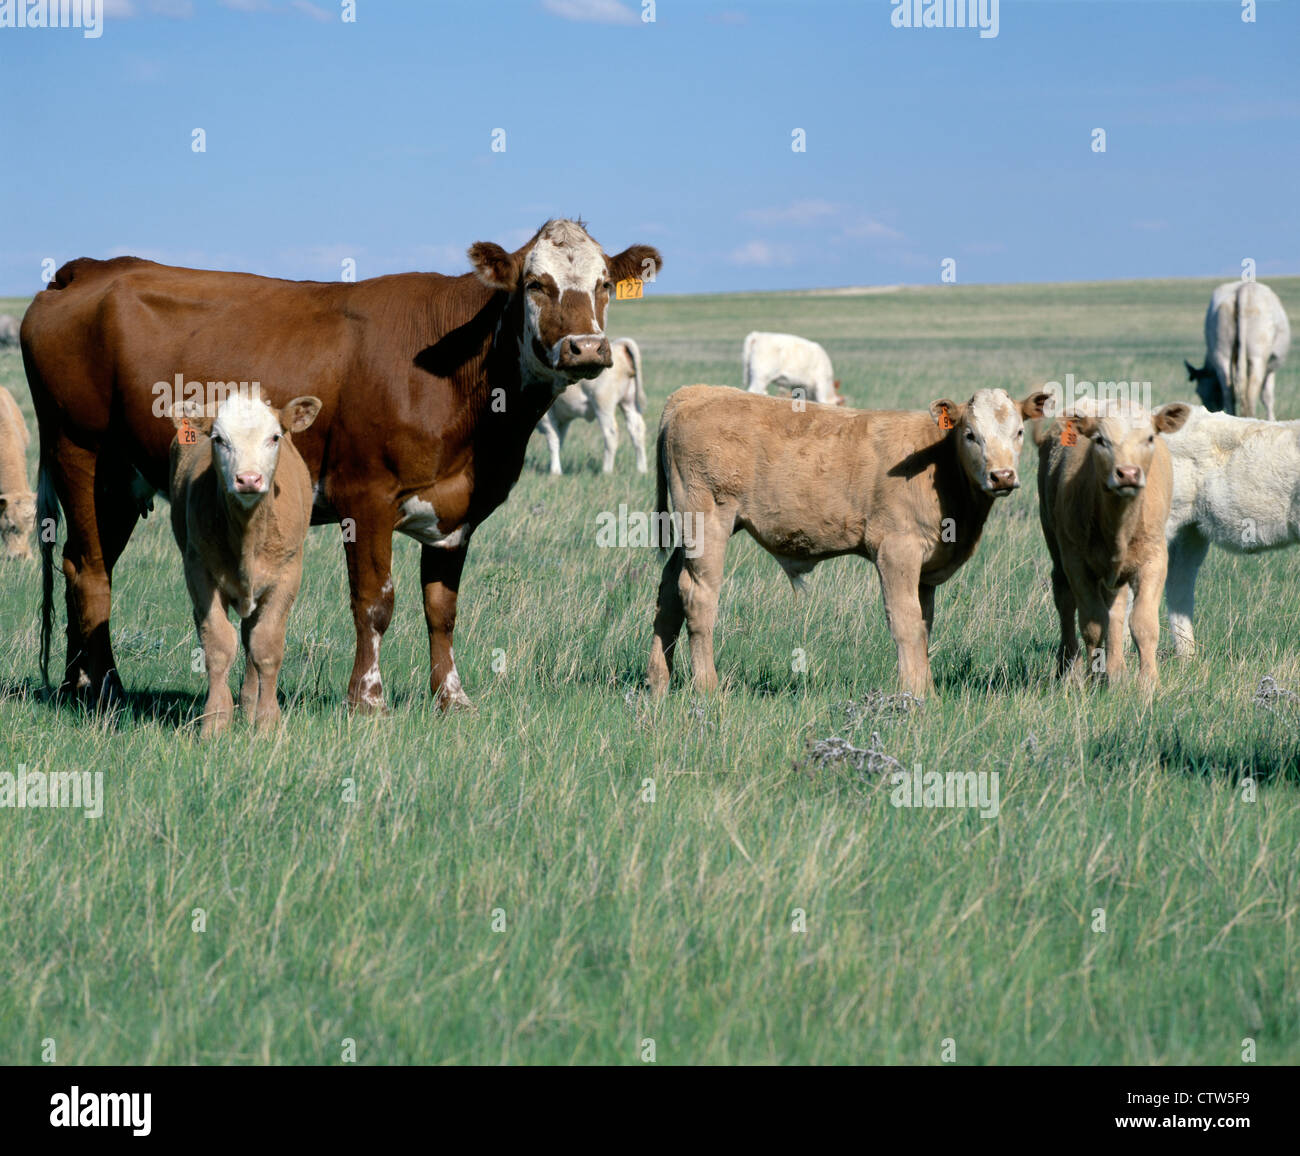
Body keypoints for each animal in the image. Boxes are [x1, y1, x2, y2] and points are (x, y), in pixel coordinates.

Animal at [169, 392, 321, 736]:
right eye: (219, 439)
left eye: (274, 437)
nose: (249, 479)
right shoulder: (199, 572)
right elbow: (218, 644)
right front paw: (215, 721)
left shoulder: (287, 576)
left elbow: (265, 646)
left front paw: (267, 722)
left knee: (253, 636)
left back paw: (250, 705)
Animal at [536, 336, 647, 474]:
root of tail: (620, 346)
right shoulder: (563, 418)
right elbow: (559, 439)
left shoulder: (547, 417)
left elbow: (553, 440)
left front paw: (555, 471)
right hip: (629, 402)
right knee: (637, 431)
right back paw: (642, 469)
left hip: (603, 405)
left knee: (611, 433)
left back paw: (606, 471)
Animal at [647, 385, 1049, 699]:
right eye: (970, 434)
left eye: (1018, 432)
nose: (1002, 476)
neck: (940, 464)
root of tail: (693, 394)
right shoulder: (896, 551)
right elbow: (905, 622)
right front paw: (915, 693)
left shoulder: (926, 569)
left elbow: (923, 625)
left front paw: (927, 688)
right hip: (706, 522)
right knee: (697, 595)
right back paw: (707, 686)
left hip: (689, 532)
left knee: (669, 591)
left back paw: (659, 681)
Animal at [1035, 398, 1191, 689]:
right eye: (1100, 440)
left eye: (1149, 437)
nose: (1128, 473)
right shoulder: (1076, 563)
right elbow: (1092, 623)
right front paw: (1092, 677)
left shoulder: (1154, 560)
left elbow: (1143, 624)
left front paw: (1148, 683)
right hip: (1054, 544)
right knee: (1065, 601)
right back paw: (1069, 669)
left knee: (1115, 611)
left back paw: (1117, 671)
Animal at [1184, 280, 1290, 420]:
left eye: (1199, 392)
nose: (1210, 412)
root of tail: (1242, 290)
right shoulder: (1270, 368)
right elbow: (1267, 397)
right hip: (1257, 356)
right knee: (1251, 392)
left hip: (1222, 353)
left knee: (1229, 391)